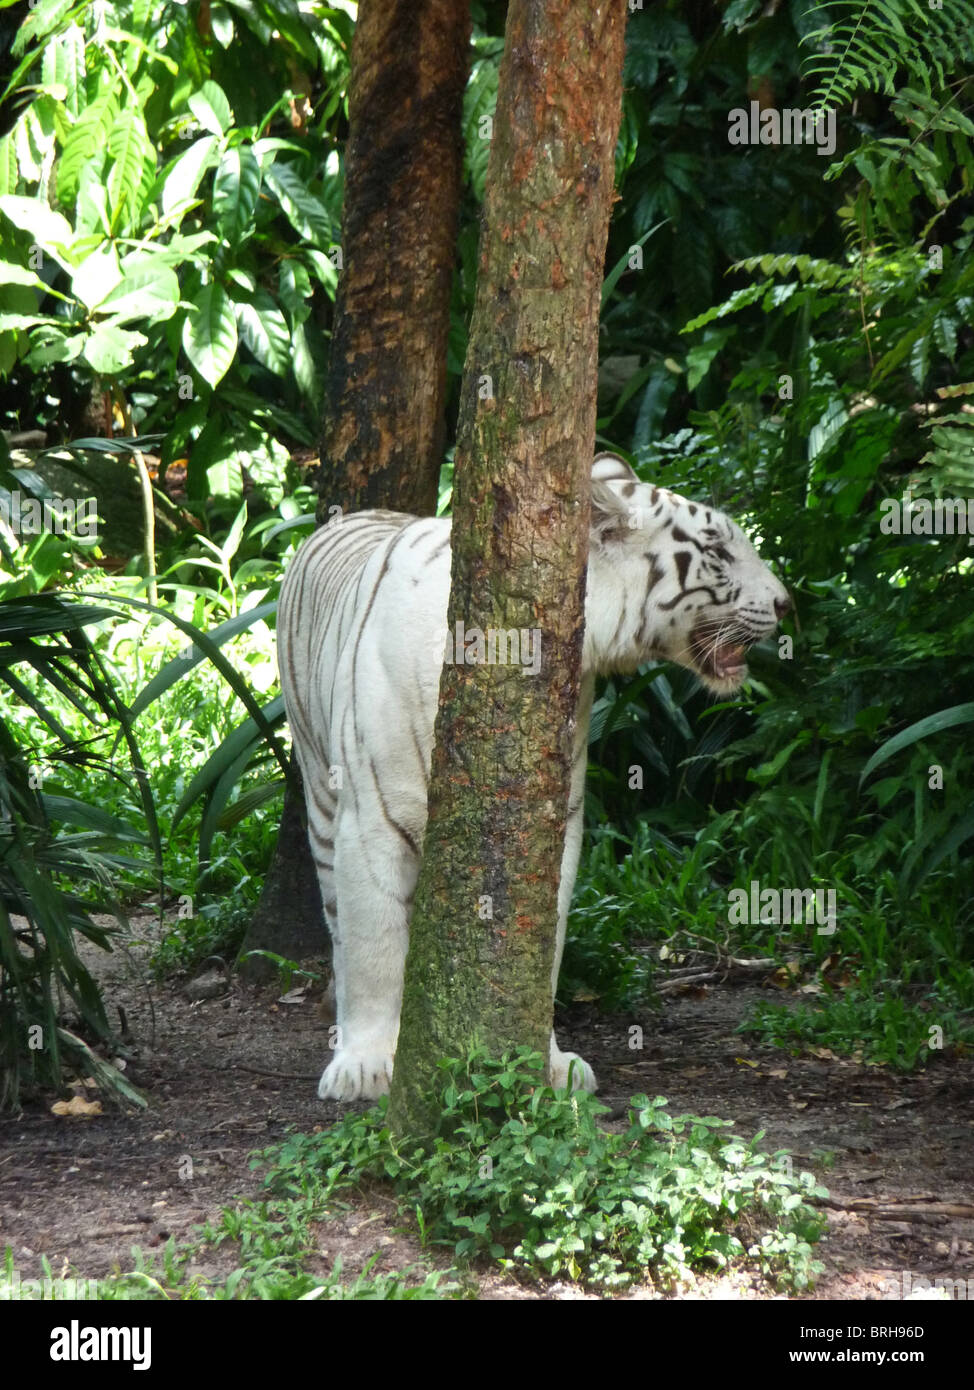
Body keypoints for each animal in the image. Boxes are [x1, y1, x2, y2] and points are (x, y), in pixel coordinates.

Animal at [277, 452, 790, 1102]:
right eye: (718, 549)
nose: (787, 603)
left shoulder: (555, 821)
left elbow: (540, 946)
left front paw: (547, 1061)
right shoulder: (373, 818)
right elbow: (375, 945)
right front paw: (368, 1064)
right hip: (320, 789)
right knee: (340, 920)